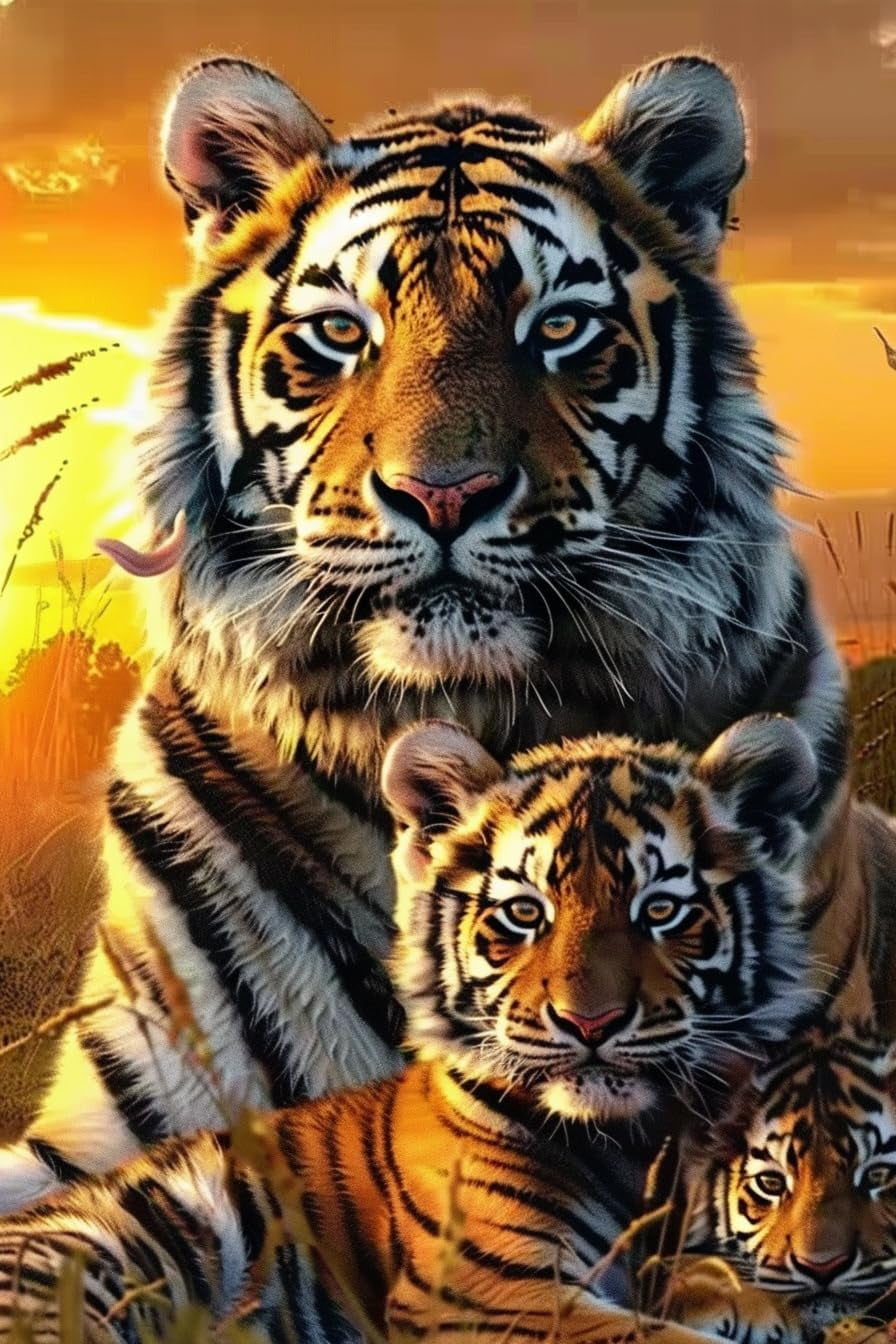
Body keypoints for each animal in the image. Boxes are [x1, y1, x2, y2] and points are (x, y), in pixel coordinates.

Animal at [0, 714, 821, 1343]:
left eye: (662, 910)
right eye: (524, 913)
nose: (591, 1021)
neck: (632, 1140)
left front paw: (759, 1305)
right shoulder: (488, 1292)